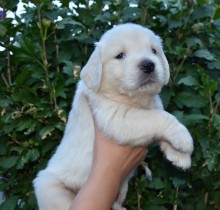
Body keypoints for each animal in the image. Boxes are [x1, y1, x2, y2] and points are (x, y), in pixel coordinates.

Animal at [33, 23, 193, 210]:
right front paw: (184, 139)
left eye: (154, 51)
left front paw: (180, 157)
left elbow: (160, 124)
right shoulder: (116, 118)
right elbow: (159, 117)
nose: (148, 65)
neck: (135, 100)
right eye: (120, 55)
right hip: (49, 186)